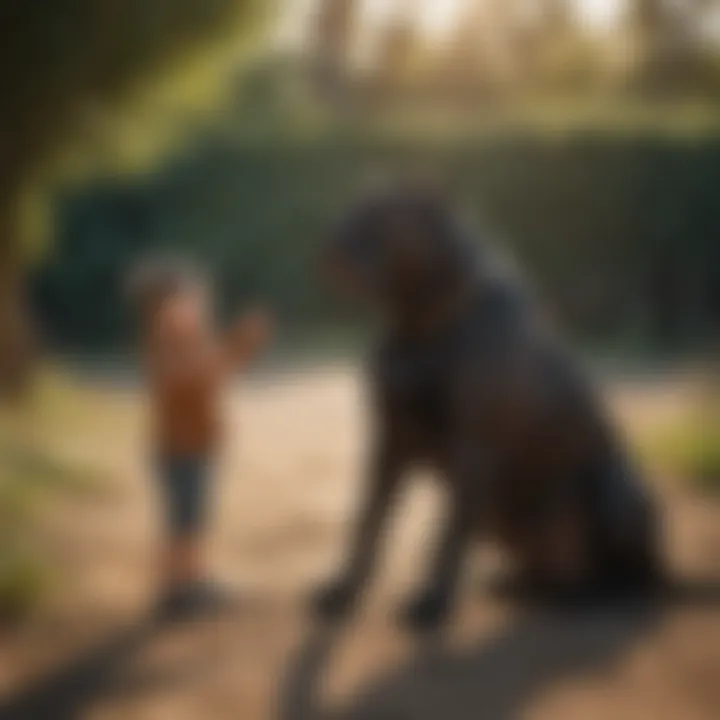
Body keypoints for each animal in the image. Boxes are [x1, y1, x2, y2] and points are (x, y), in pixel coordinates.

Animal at [316, 184, 664, 632]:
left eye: (382, 219)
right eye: (351, 212)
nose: (330, 248)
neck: (419, 322)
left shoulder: (470, 449)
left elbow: (445, 537)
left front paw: (431, 603)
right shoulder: (388, 444)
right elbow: (366, 525)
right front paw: (341, 590)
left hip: (619, 488)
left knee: (635, 576)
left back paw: (597, 594)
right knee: (547, 573)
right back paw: (520, 584)